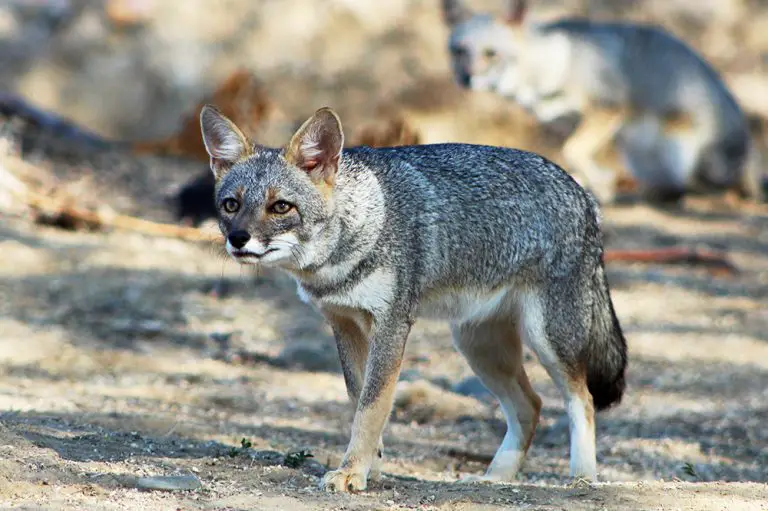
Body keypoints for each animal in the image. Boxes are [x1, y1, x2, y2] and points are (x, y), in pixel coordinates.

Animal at [199, 104, 628, 492]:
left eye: (280, 207)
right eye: (231, 205)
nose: (237, 240)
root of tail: (584, 195)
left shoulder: (392, 326)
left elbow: (372, 407)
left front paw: (352, 472)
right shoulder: (344, 324)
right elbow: (359, 401)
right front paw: (370, 467)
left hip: (547, 340)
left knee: (582, 398)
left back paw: (581, 477)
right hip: (477, 347)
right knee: (531, 406)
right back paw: (496, 478)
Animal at [442, 0, 765, 205]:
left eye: (491, 54)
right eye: (459, 51)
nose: (466, 78)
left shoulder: (607, 109)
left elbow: (572, 149)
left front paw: (602, 182)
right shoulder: (571, 121)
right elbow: (573, 154)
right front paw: (593, 185)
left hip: (676, 146)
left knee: (701, 187)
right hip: (638, 155)